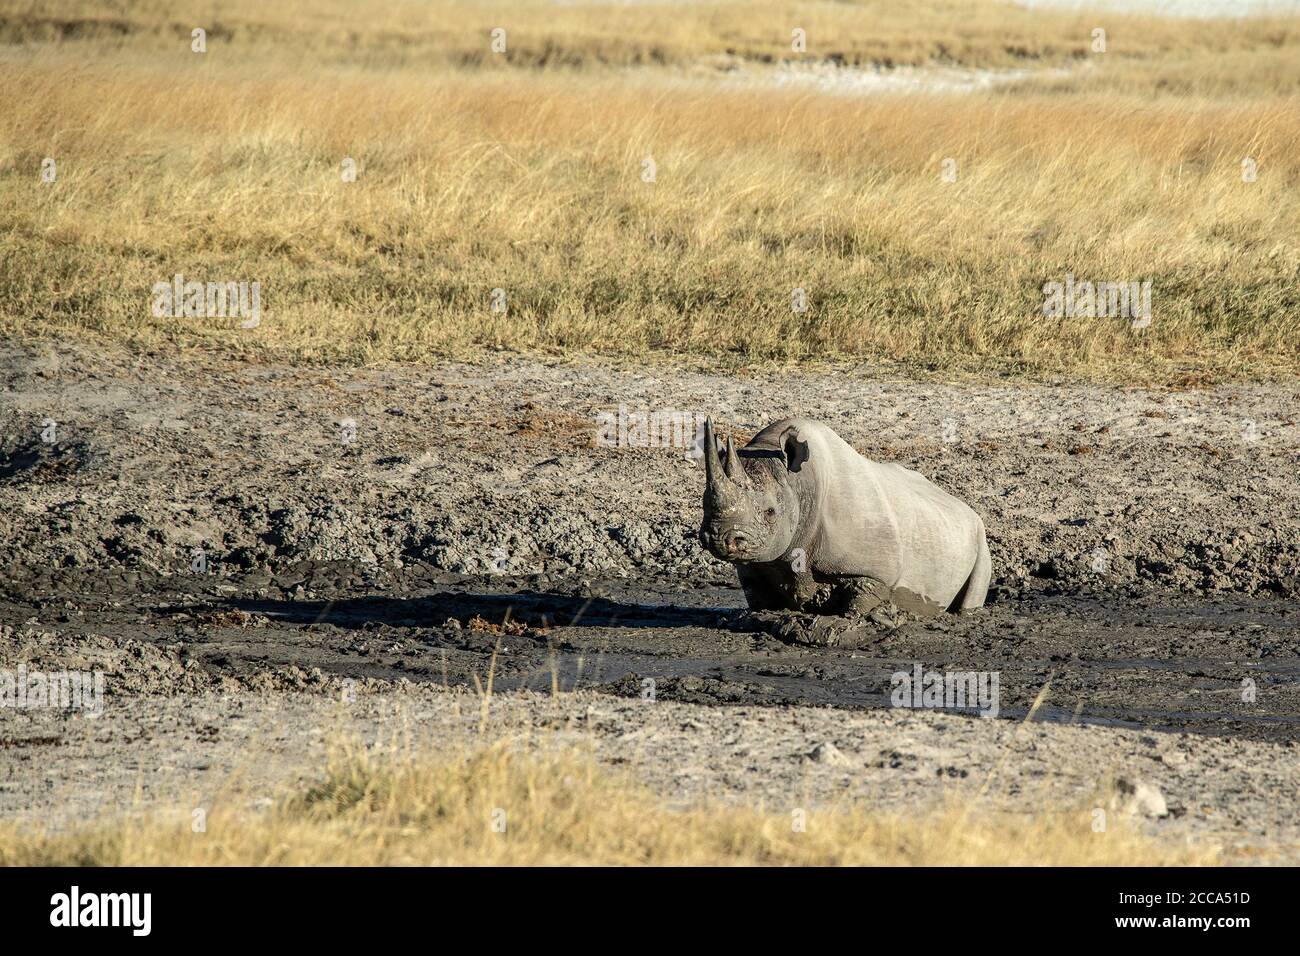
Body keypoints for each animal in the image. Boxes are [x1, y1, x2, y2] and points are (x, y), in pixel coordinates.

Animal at [698, 417, 990, 616]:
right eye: (703, 504)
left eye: (770, 512)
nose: (719, 539)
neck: (801, 485)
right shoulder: (756, 561)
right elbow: (758, 596)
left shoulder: (878, 570)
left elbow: (862, 595)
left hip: (979, 535)